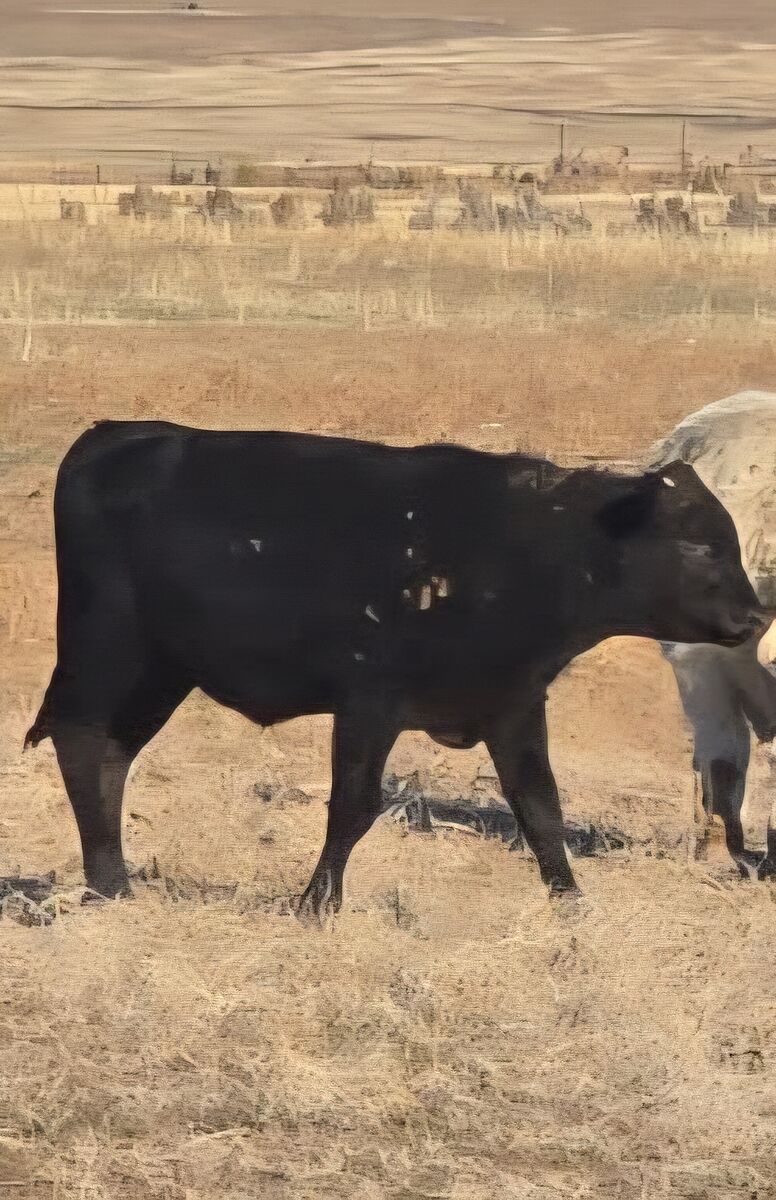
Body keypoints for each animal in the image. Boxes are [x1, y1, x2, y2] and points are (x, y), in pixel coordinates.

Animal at [25, 420, 762, 918]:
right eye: (700, 545)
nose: (757, 618)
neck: (518, 547)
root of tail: (118, 435)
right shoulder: (370, 704)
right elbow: (352, 807)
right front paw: (317, 906)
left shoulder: (513, 704)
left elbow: (540, 807)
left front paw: (573, 903)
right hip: (106, 654)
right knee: (84, 745)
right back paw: (106, 883)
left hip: (160, 671)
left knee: (111, 755)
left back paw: (113, 883)